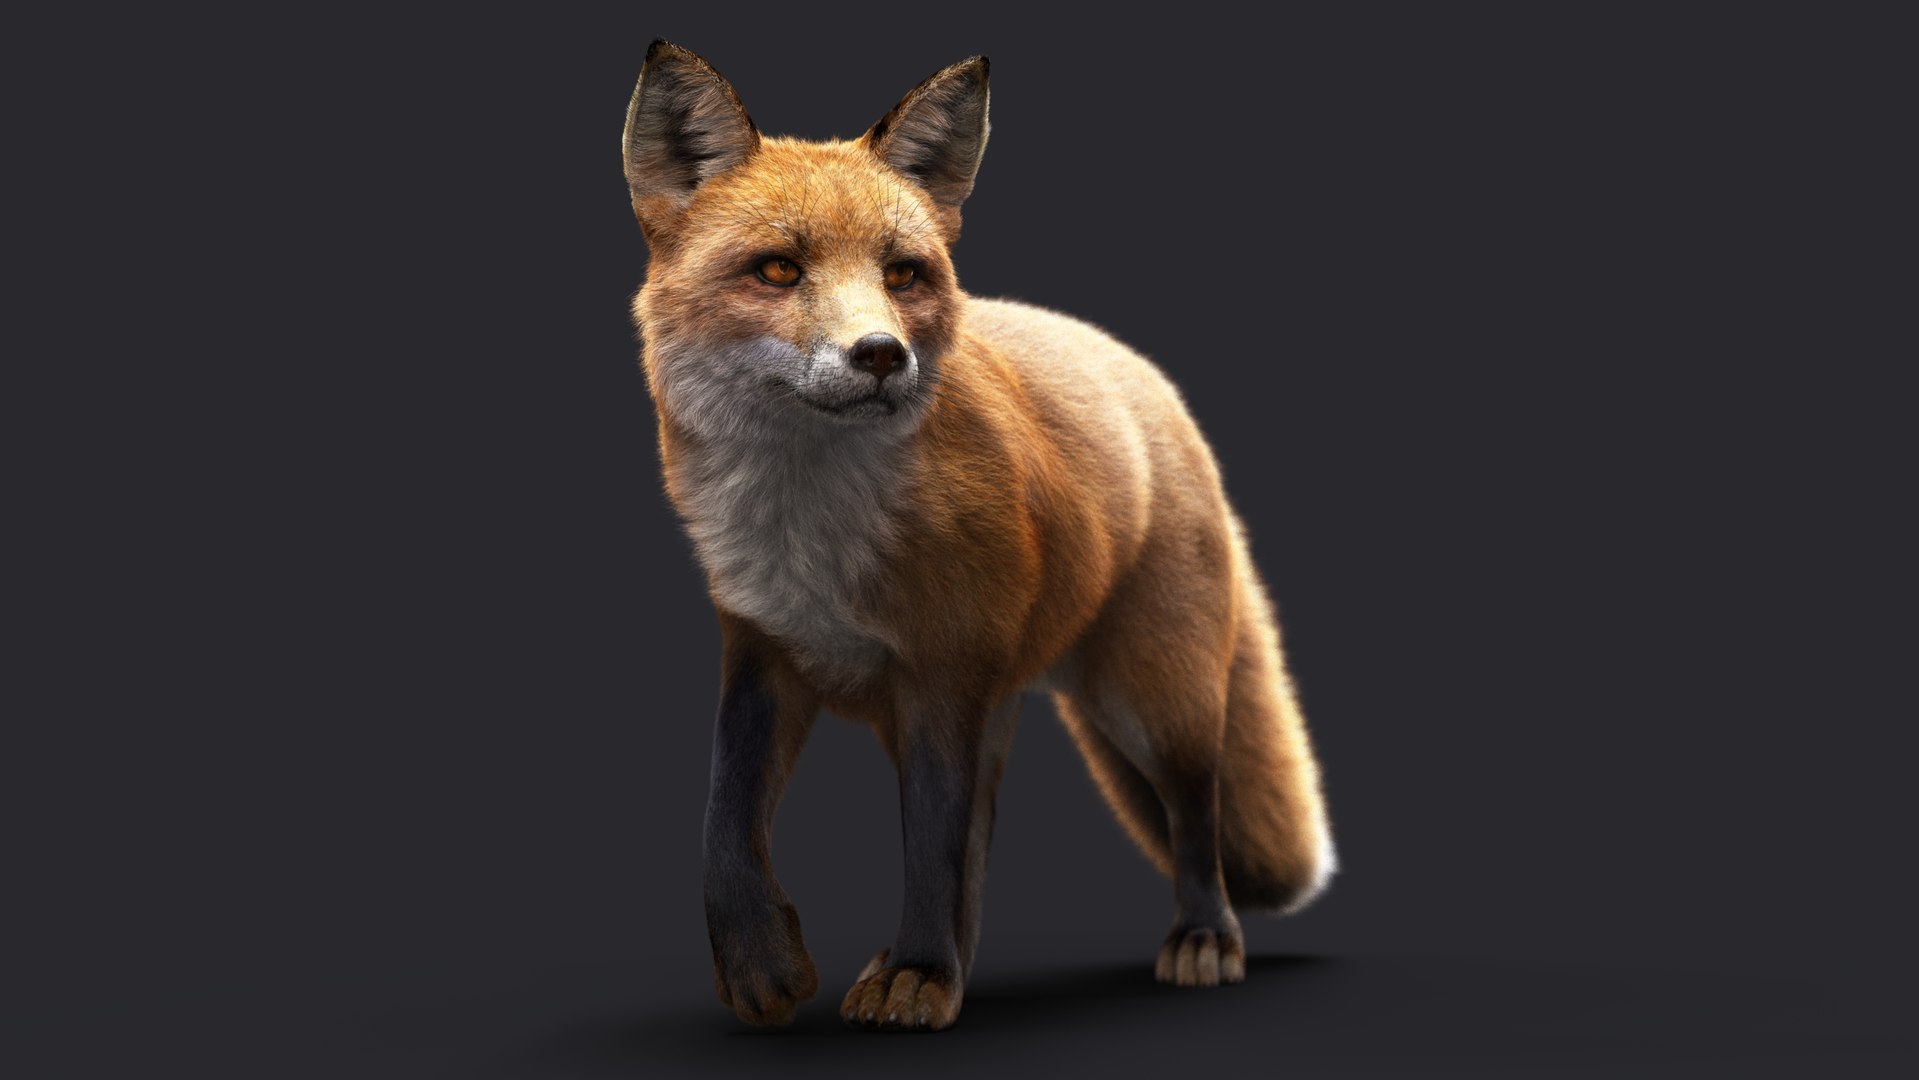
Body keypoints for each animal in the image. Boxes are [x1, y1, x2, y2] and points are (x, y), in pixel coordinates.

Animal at [621, 40, 1336, 1032]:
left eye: (902, 274)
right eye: (776, 271)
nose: (881, 354)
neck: (813, 542)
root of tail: (1138, 370)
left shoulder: (942, 673)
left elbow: (930, 844)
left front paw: (918, 973)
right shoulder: (763, 650)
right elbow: (724, 819)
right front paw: (763, 965)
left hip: (1152, 702)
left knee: (1194, 812)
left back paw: (1200, 939)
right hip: (1000, 712)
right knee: (982, 851)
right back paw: (938, 967)